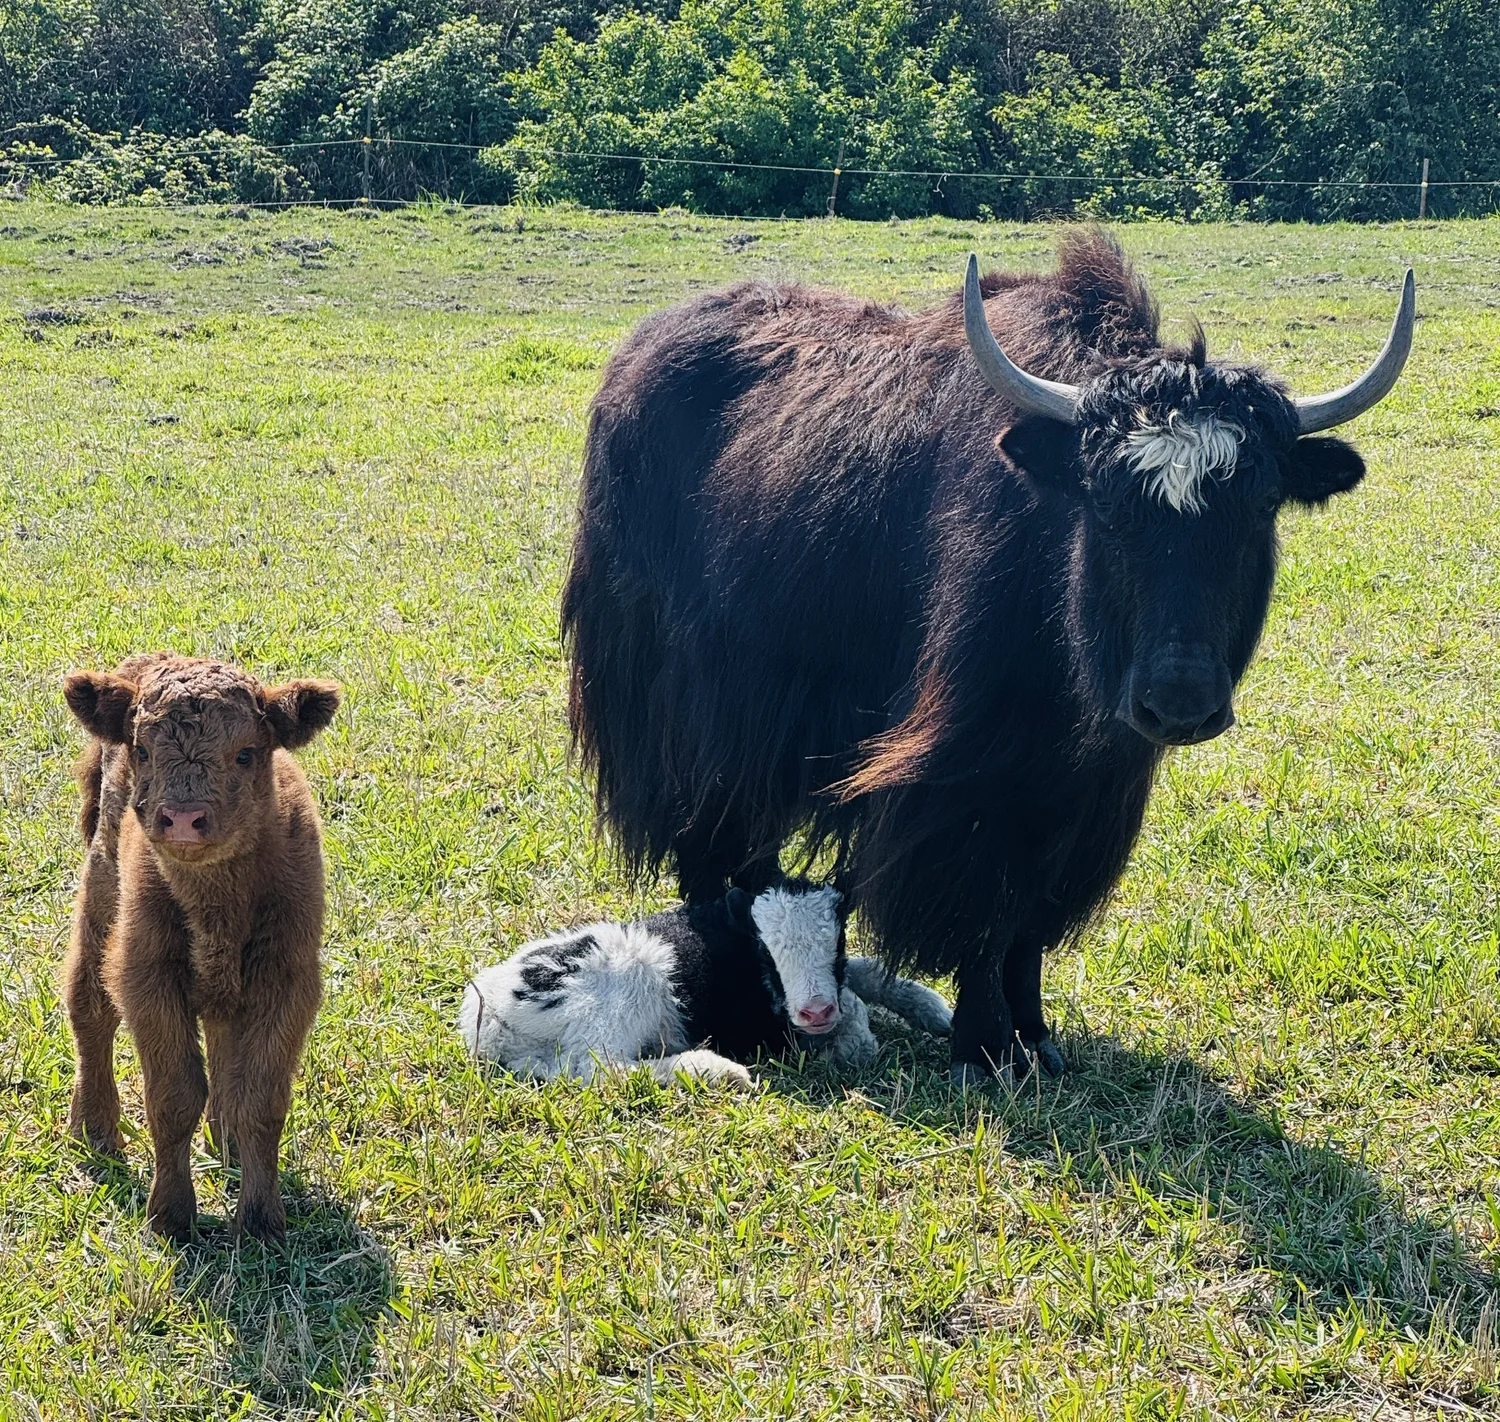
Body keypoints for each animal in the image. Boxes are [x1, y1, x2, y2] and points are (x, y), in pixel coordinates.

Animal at [560, 230, 1414, 1082]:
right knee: (705, 834)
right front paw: (982, 1046)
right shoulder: (968, 773)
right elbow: (984, 905)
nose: (1178, 702)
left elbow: (1030, 918)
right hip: (674, 706)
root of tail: (633, 357)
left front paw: (1035, 1036)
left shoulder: (1081, 794)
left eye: (1262, 504)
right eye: (1106, 504)